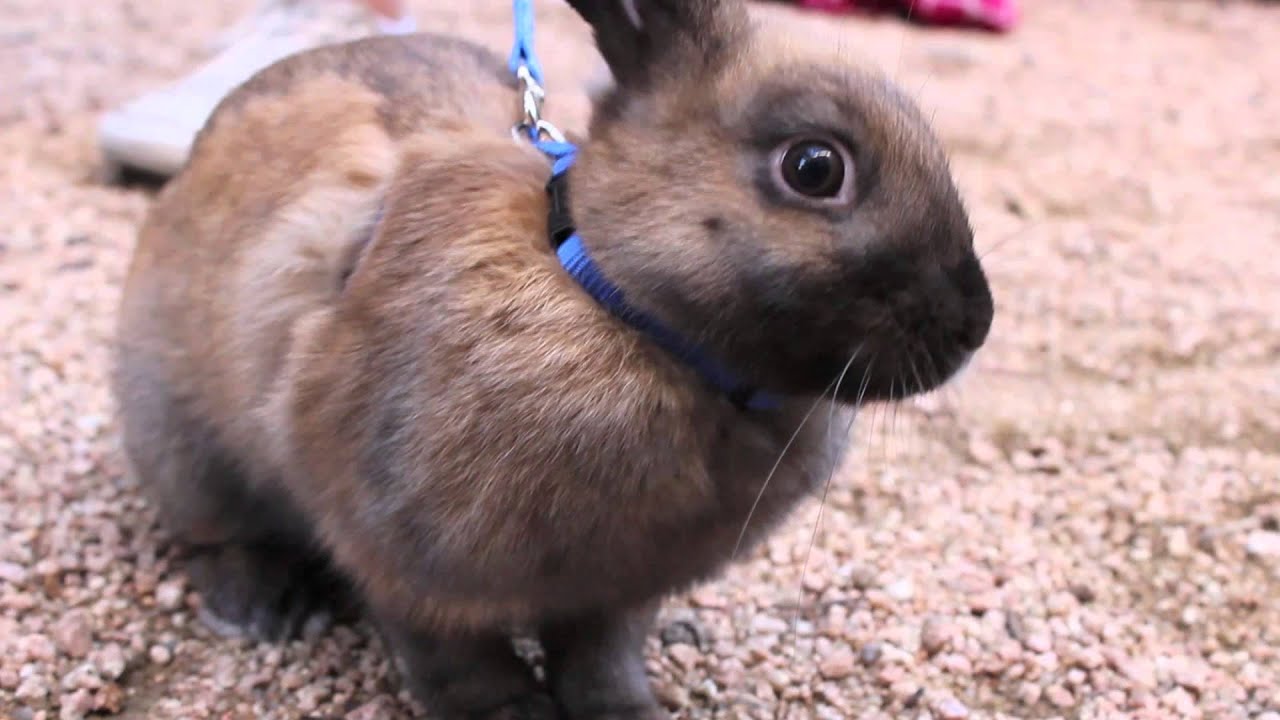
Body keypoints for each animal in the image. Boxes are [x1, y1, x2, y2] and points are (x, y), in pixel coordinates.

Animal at [112, 0, 994, 718]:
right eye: (815, 167)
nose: (975, 324)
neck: (622, 312)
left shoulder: (616, 592)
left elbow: (600, 660)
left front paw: (626, 714)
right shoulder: (398, 559)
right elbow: (454, 657)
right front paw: (511, 713)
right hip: (184, 445)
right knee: (216, 530)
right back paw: (255, 606)